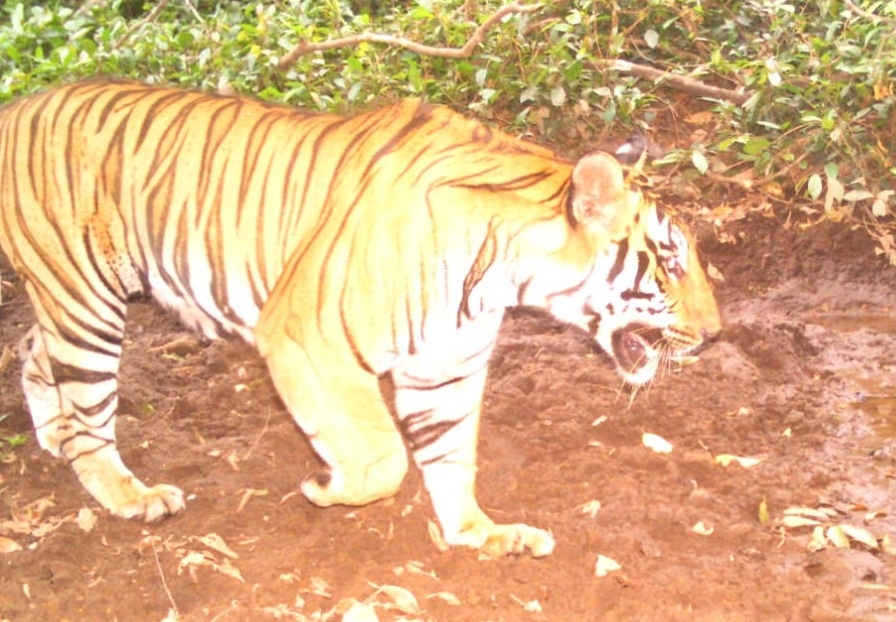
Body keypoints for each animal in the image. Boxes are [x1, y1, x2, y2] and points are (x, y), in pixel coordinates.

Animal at [0, 80, 720, 557]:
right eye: (670, 262)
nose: (716, 334)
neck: (500, 274)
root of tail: (20, 105)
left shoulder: (445, 365)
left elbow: (451, 455)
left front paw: (479, 533)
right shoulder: (304, 339)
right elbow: (384, 458)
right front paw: (327, 487)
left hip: (76, 296)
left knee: (33, 350)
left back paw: (55, 435)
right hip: (85, 298)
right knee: (88, 411)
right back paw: (131, 494)